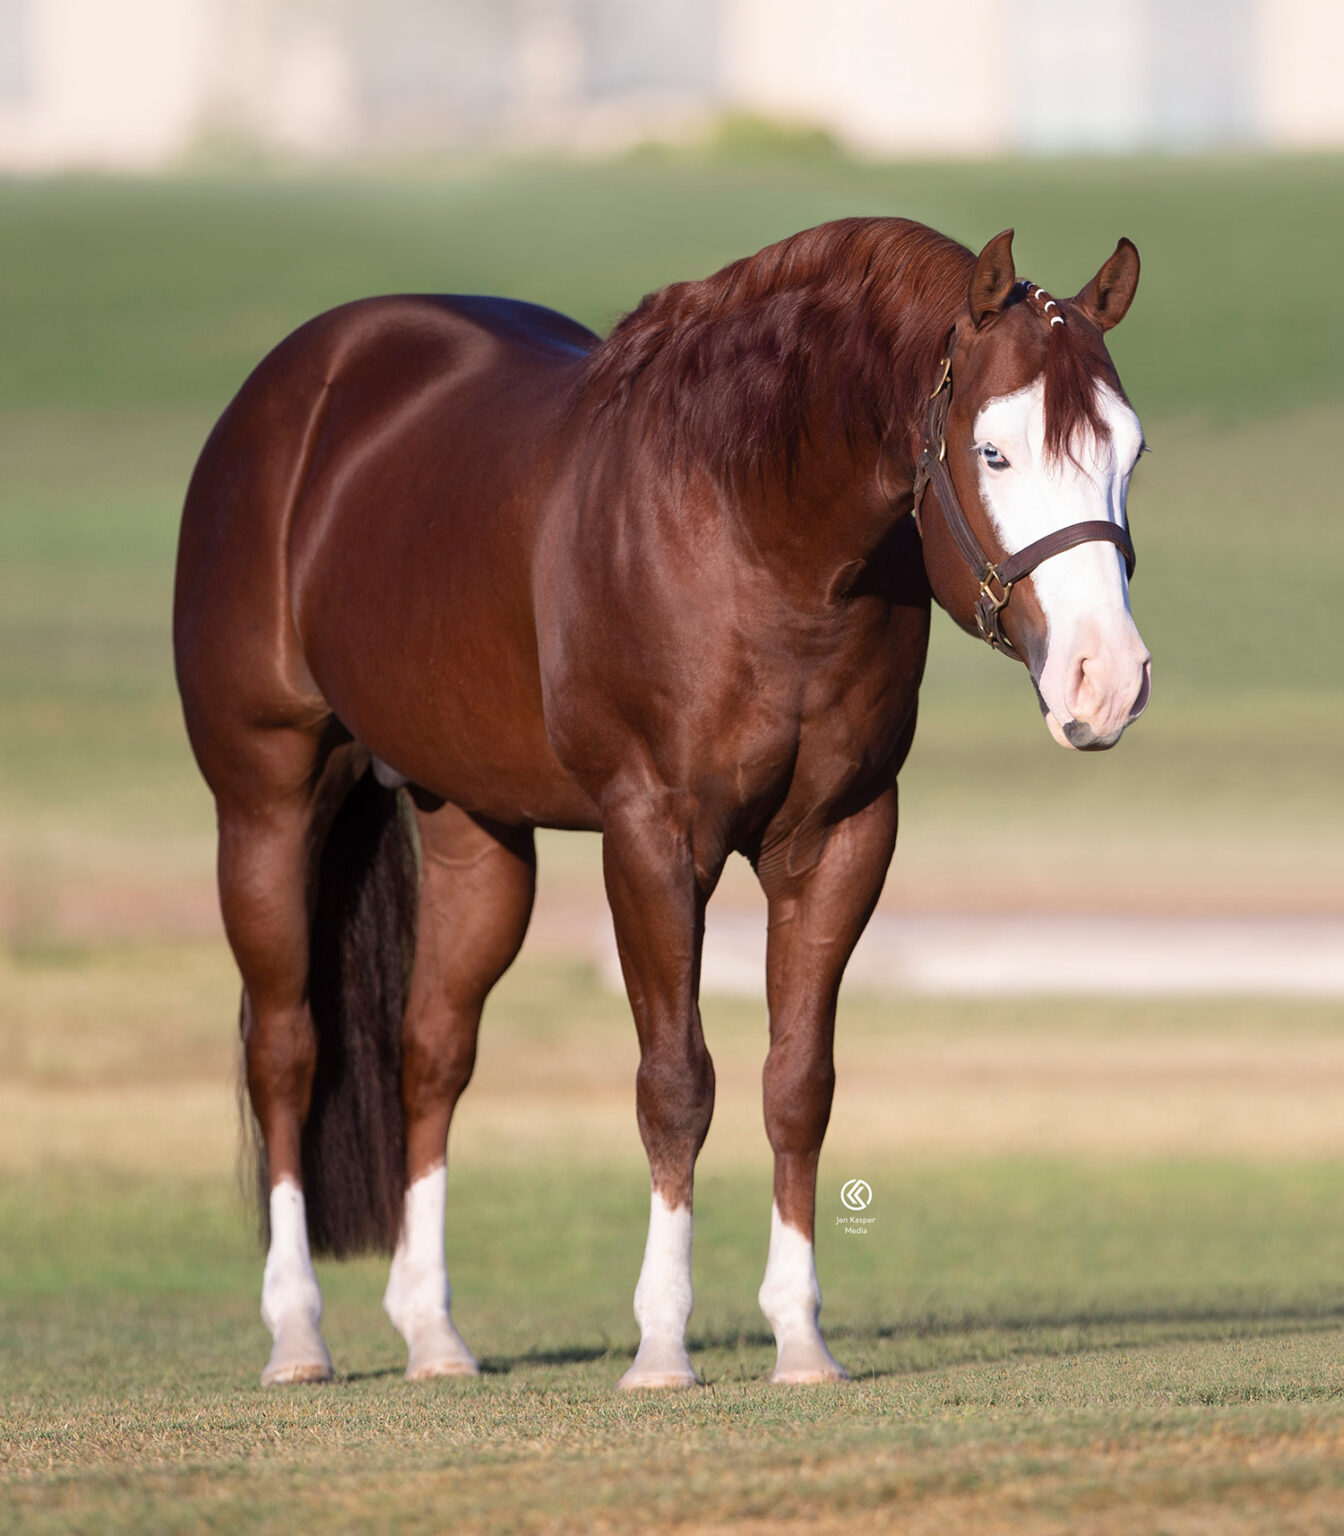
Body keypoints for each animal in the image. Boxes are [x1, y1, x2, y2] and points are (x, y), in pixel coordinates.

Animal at [173, 217, 1150, 1389]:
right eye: (995, 451)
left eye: (1131, 452)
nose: (1107, 681)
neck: (755, 531)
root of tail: (298, 388)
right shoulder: (651, 839)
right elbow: (676, 1082)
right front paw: (662, 1345)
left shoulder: (842, 837)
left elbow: (797, 1083)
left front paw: (800, 1340)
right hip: (265, 802)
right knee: (286, 1048)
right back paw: (298, 1334)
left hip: (475, 834)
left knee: (432, 1054)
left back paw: (435, 1335)